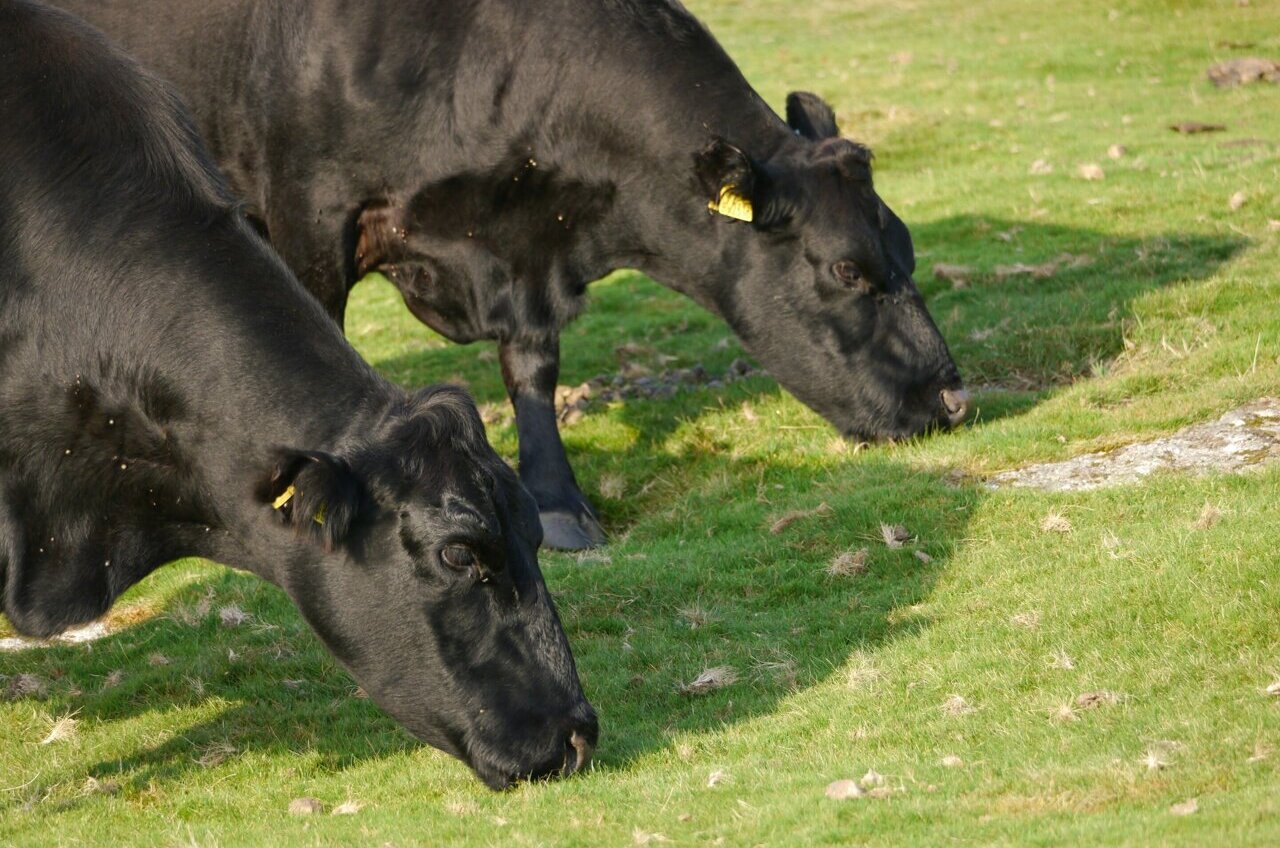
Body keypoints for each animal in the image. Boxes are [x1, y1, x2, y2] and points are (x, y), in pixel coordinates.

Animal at [55, 0, 972, 550]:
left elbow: (533, 367)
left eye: (904, 247)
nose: (955, 399)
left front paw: (559, 502)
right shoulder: (306, 208)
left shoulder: (530, 249)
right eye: (847, 269)